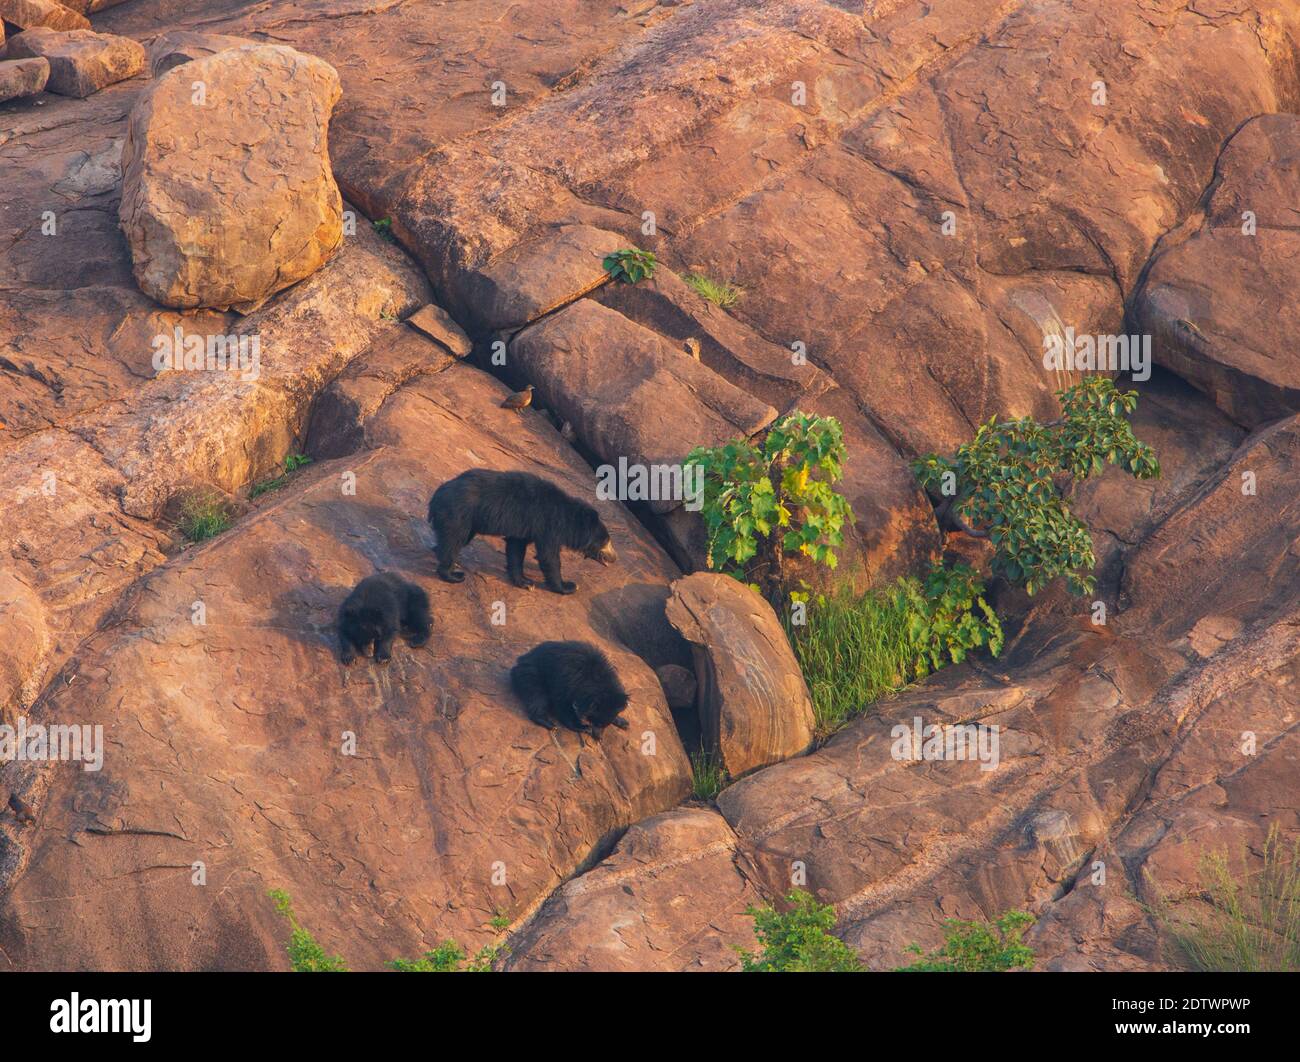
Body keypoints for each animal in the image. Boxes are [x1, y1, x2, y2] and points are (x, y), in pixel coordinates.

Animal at [427, 469, 617, 594]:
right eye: (606, 542)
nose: (615, 558)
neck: (568, 518)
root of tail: (436, 495)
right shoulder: (548, 525)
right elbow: (549, 557)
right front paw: (568, 586)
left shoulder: (524, 527)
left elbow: (516, 550)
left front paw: (524, 582)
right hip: (458, 515)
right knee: (453, 541)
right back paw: (453, 574)